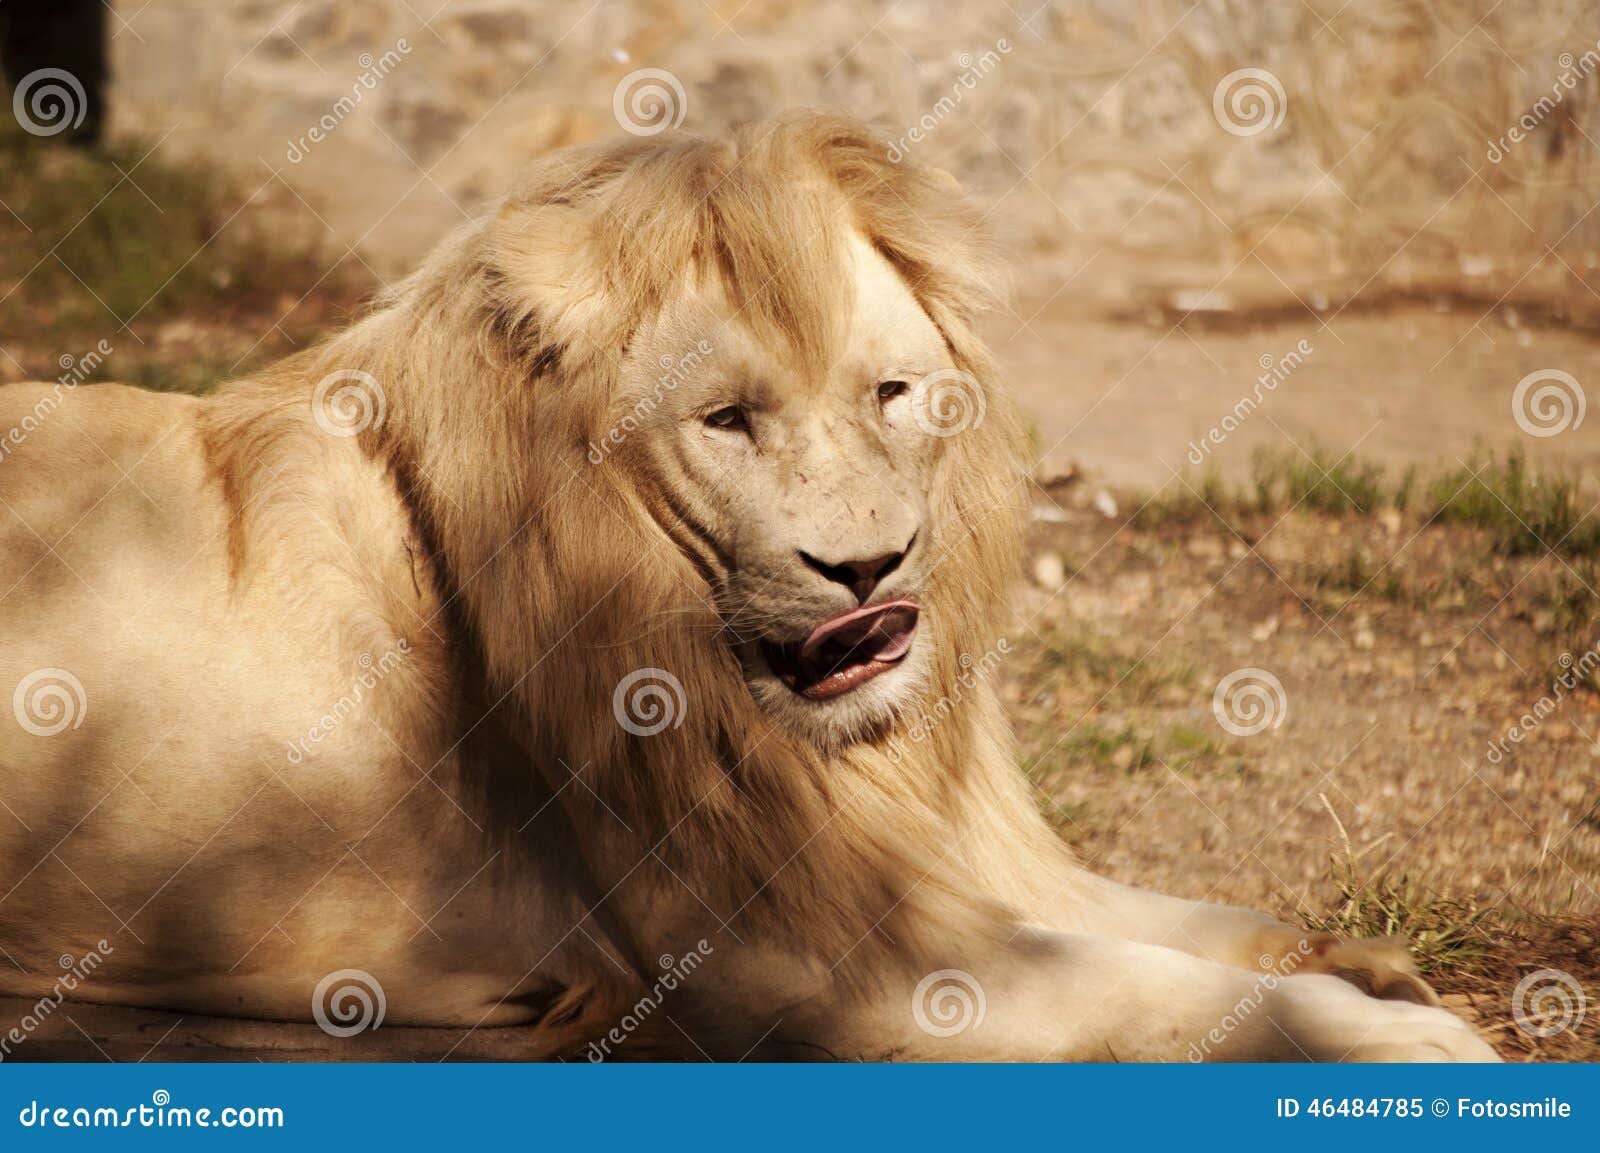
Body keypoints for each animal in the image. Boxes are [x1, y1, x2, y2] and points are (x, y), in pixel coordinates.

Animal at [0, 111, 1495, 1061]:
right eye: (726, 421)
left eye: (890, 393)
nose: (870, 571)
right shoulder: (798, 967)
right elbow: (1149, 988)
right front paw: (1400, 1037)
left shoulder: (928, 858)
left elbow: (1185, 919)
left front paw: (1363, 963)